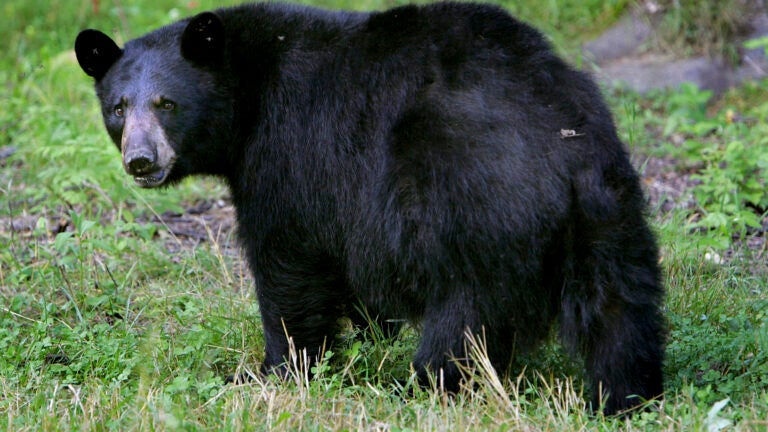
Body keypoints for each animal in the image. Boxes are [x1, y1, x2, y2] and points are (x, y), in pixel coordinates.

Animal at [75, 1, 666, 415]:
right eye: (118, 108)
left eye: (167, 103)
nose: (141, 160)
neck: (247, 94)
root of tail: (560, 145)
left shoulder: (290, 154)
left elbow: (288, 264)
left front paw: (274, 371)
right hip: (609, 211)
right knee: (620, 308)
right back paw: (626, 396)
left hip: (475, 208)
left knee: (467, 318)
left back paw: (424, 385)